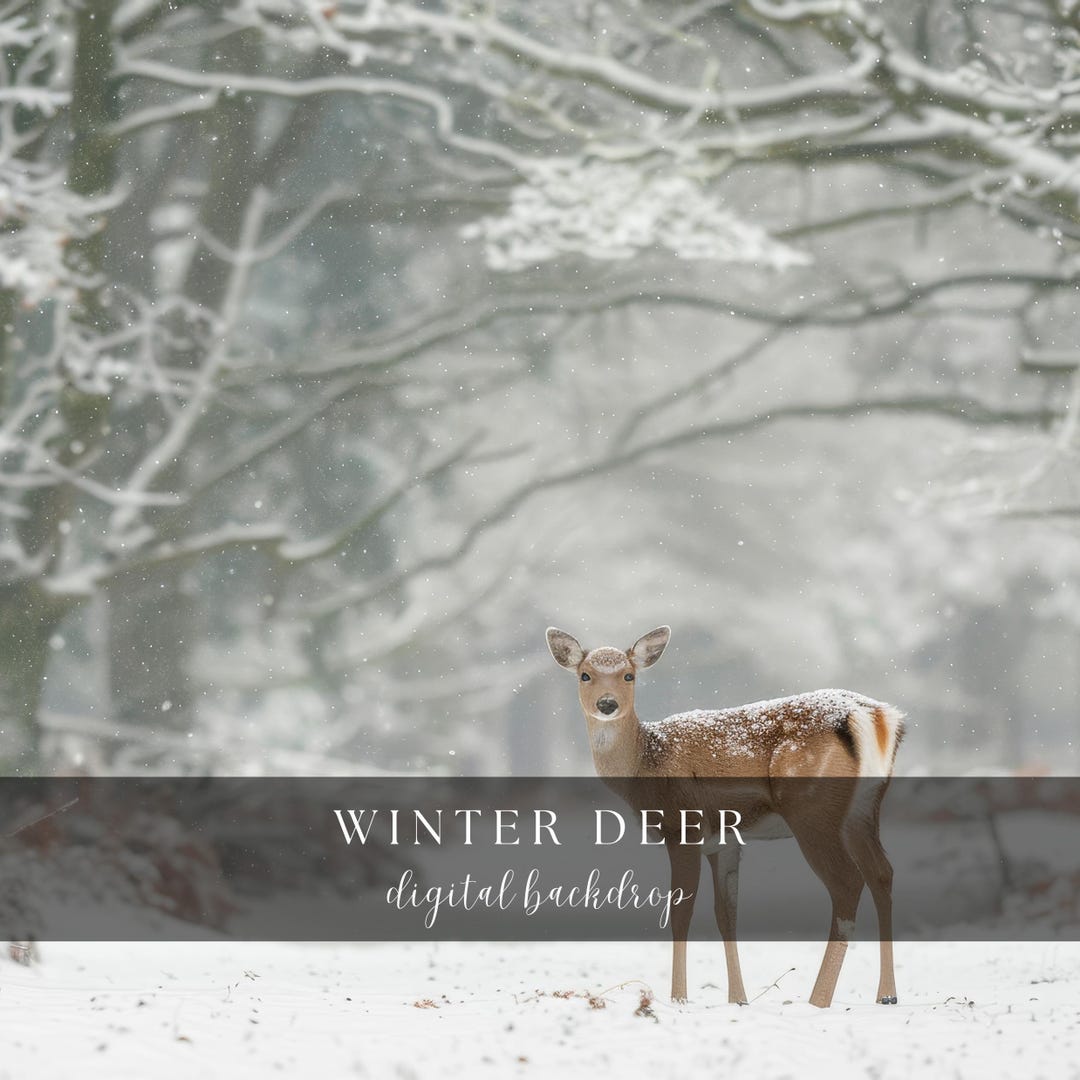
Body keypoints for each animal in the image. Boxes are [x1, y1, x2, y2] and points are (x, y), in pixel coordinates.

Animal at [546, 625, 903, 1009]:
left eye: (629, 675)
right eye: (585, 675)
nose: (607, 704)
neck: (647, 763)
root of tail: (874, 716)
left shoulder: (682, 827)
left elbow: (680, 913)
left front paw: (679, 998)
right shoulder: (725, 841)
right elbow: (726, 915)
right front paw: (739, 999)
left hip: (812, 808)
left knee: (848, 882)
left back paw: (817, 999)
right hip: (864, 809)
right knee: (882, 873)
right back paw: (887, 994)